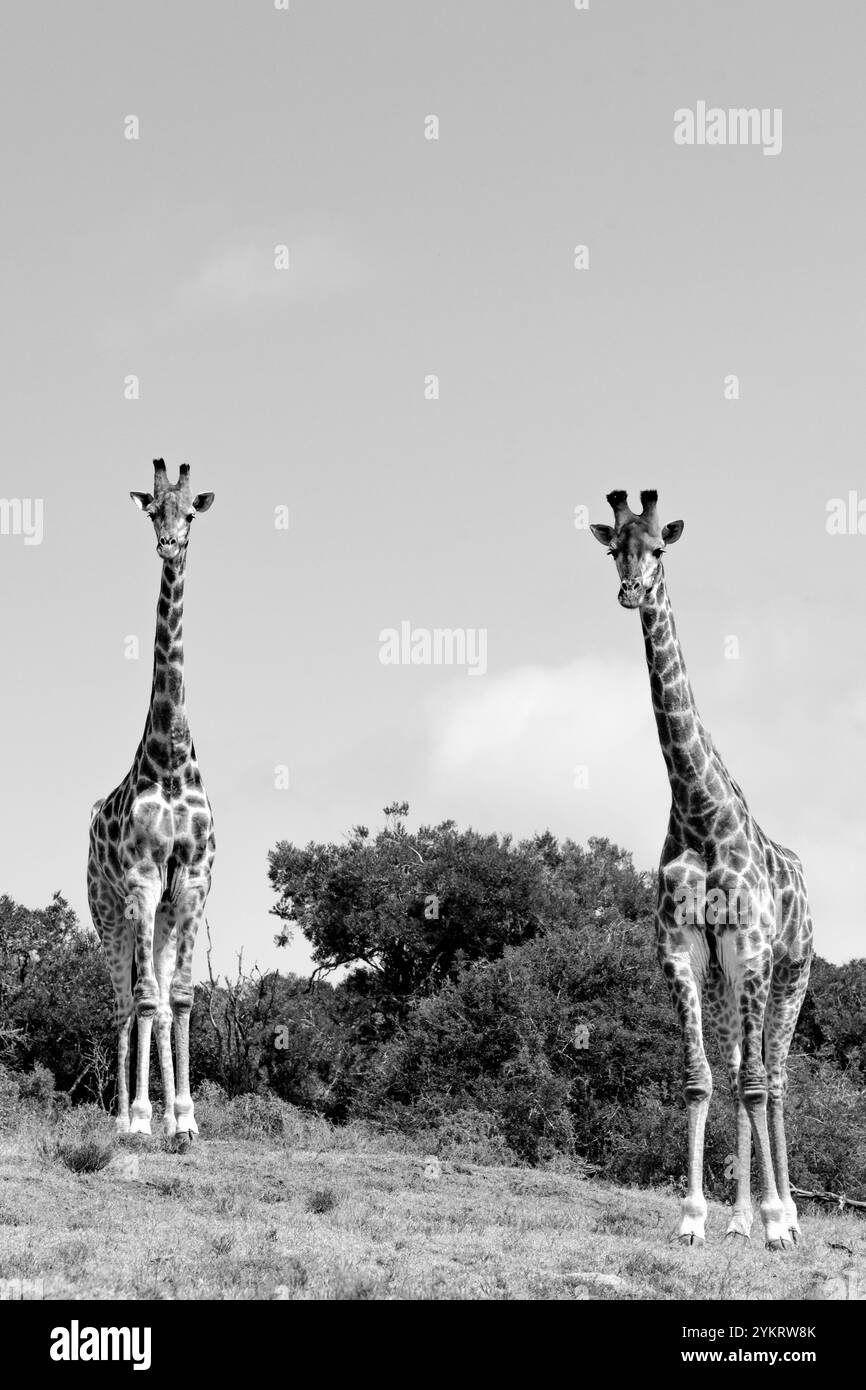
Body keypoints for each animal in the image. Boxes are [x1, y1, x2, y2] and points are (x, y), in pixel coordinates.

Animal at [590, 489, 813, 1250]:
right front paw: (694, 1217)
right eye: (614, 548)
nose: (630, 591)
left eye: (659, 548)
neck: (696, 804)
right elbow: (699, 1078)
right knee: (743, 1067)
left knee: (774, 1077)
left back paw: (786, 1214)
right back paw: (742, 1216)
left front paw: (776, 1223)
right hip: (727, 981)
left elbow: (754, 1084)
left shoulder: (753, 946)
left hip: (789, 973)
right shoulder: (680, 948)